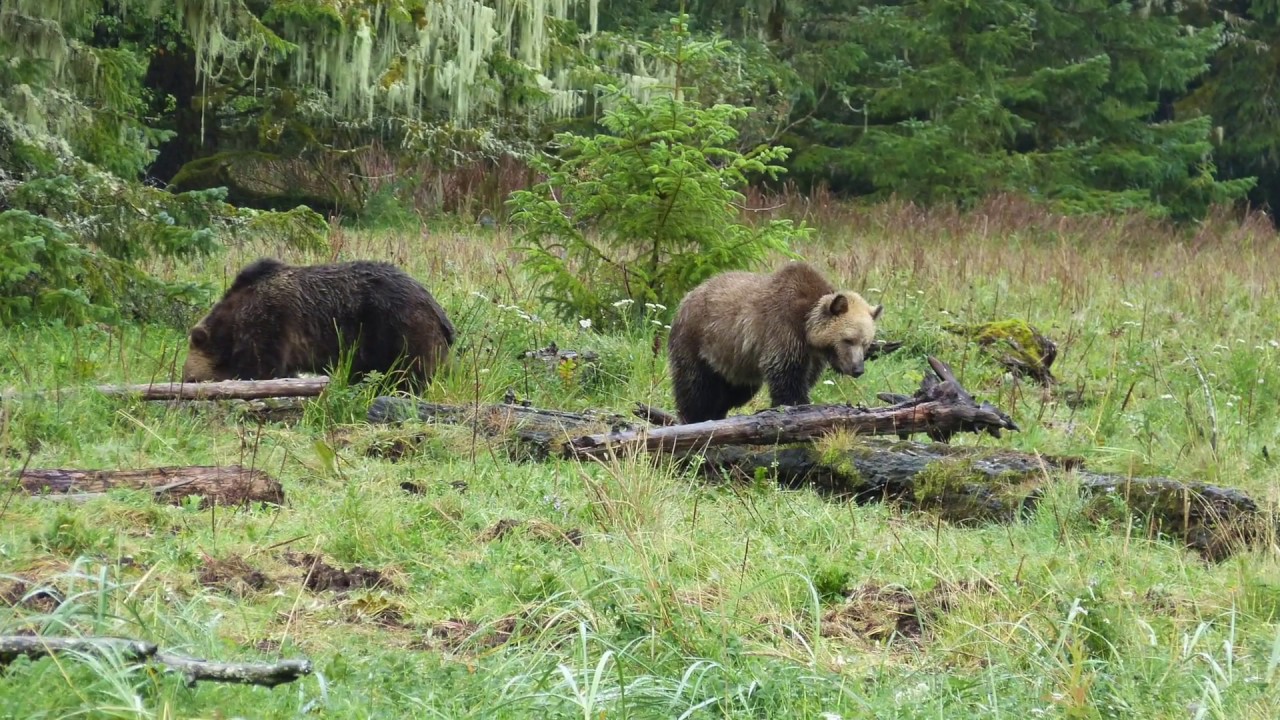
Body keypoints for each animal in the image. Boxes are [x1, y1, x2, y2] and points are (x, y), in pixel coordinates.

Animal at [181, 258, 455, 391]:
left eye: (190, 378)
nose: (186, 382)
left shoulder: (268, 324)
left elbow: (262, 368)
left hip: (396, 326)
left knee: (409, 369)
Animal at [666, 261, 883, 423]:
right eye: (848, 340)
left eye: (866, 343)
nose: (857, 369)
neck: (806, 326)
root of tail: (686, 297)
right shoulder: (782, 330)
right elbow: (787, 376)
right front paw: (796, 405)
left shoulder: (812, 356)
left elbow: (805, 377)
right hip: (697, 340)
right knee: (695, 386)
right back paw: (695, 417)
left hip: (734, 361)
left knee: (735, 390)